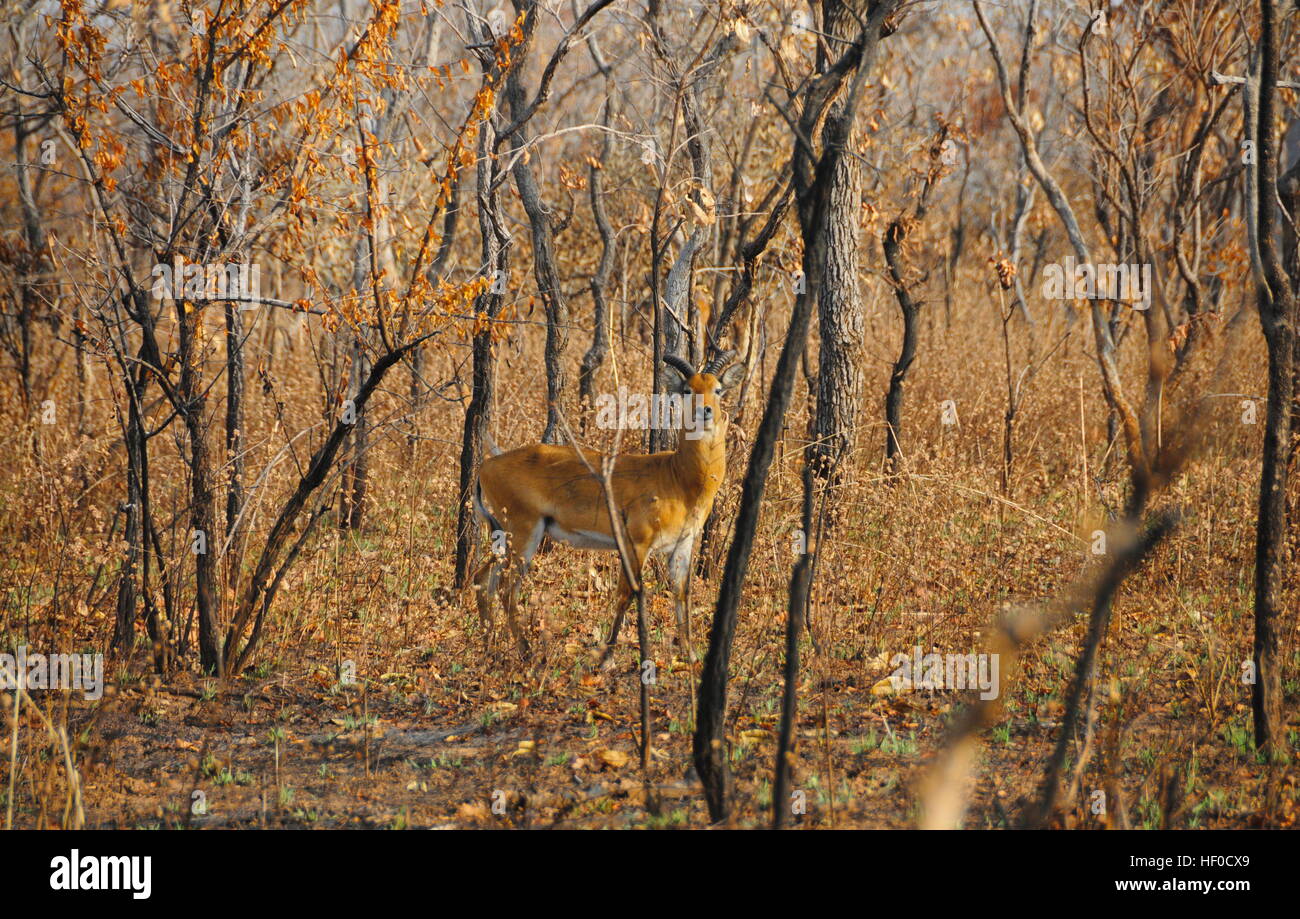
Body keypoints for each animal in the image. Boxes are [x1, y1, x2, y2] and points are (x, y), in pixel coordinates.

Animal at [472, 351, 744, 659]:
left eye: (717, 389)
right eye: (687, 390)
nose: (704, 411)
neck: (678, 478)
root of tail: (487, 466)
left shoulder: (682, 545)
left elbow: (681, 595)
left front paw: (690, 656)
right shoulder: (636, 543)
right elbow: (627, 594)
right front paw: (607, 656)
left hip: (506, 537)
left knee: (483, 579)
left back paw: (490, 647)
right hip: (524, 533)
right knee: (506, 588)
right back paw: (526, 651)